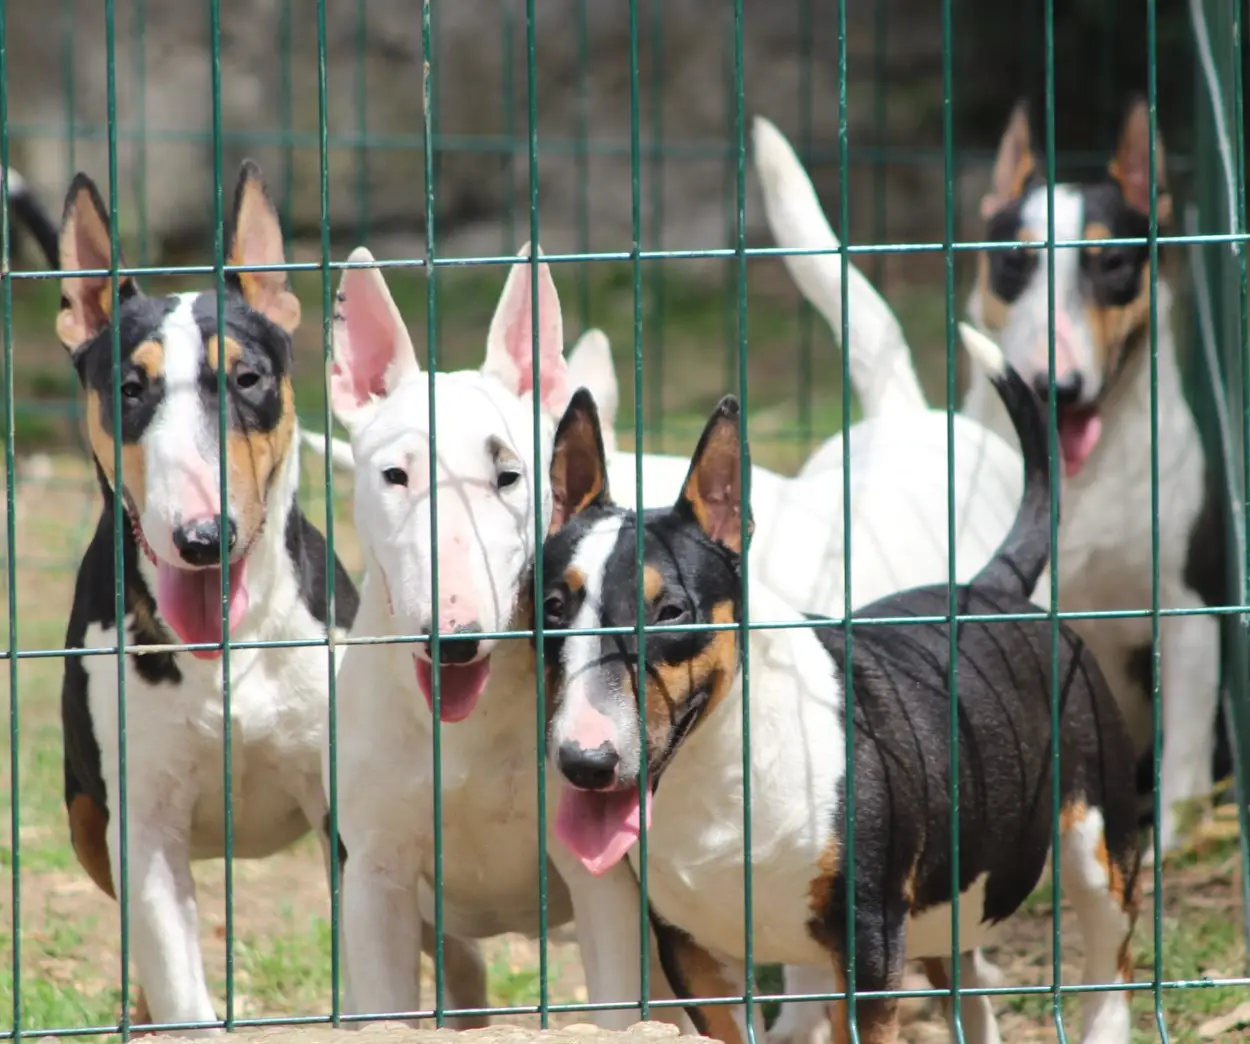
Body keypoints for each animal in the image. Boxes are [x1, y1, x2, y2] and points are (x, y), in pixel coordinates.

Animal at [540, 325, 1145, 1044]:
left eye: (671, 612)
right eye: (553, 606)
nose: (584, 763)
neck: (719, 773)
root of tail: (989, 588)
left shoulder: (868, 942)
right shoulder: (693, 952)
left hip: (1097, 837)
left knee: (1108, 963)